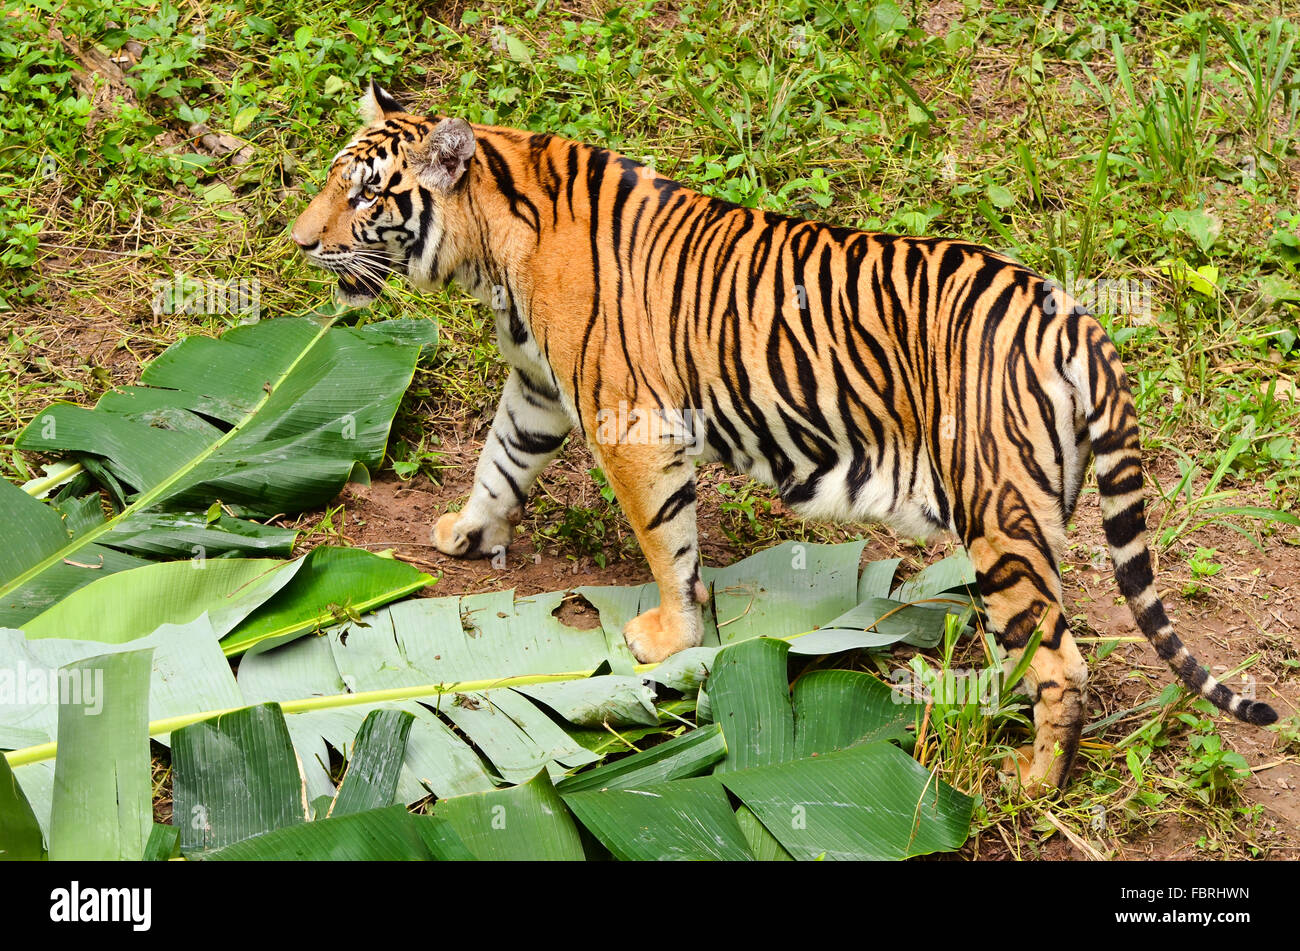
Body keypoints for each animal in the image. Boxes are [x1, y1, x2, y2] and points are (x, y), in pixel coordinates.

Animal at [290, 81, 1278, 792]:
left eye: (366, 194)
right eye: (335, 178)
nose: (300, 242)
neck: (491, 248)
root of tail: (1074, 315)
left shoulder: (630, 422)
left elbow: (665, 537)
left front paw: (668, 635)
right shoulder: (536, 386)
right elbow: (500, 462)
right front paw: (464, 532)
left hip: (998, 512)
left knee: (1060, 659)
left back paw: (1033, 781)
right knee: (1028, 643)